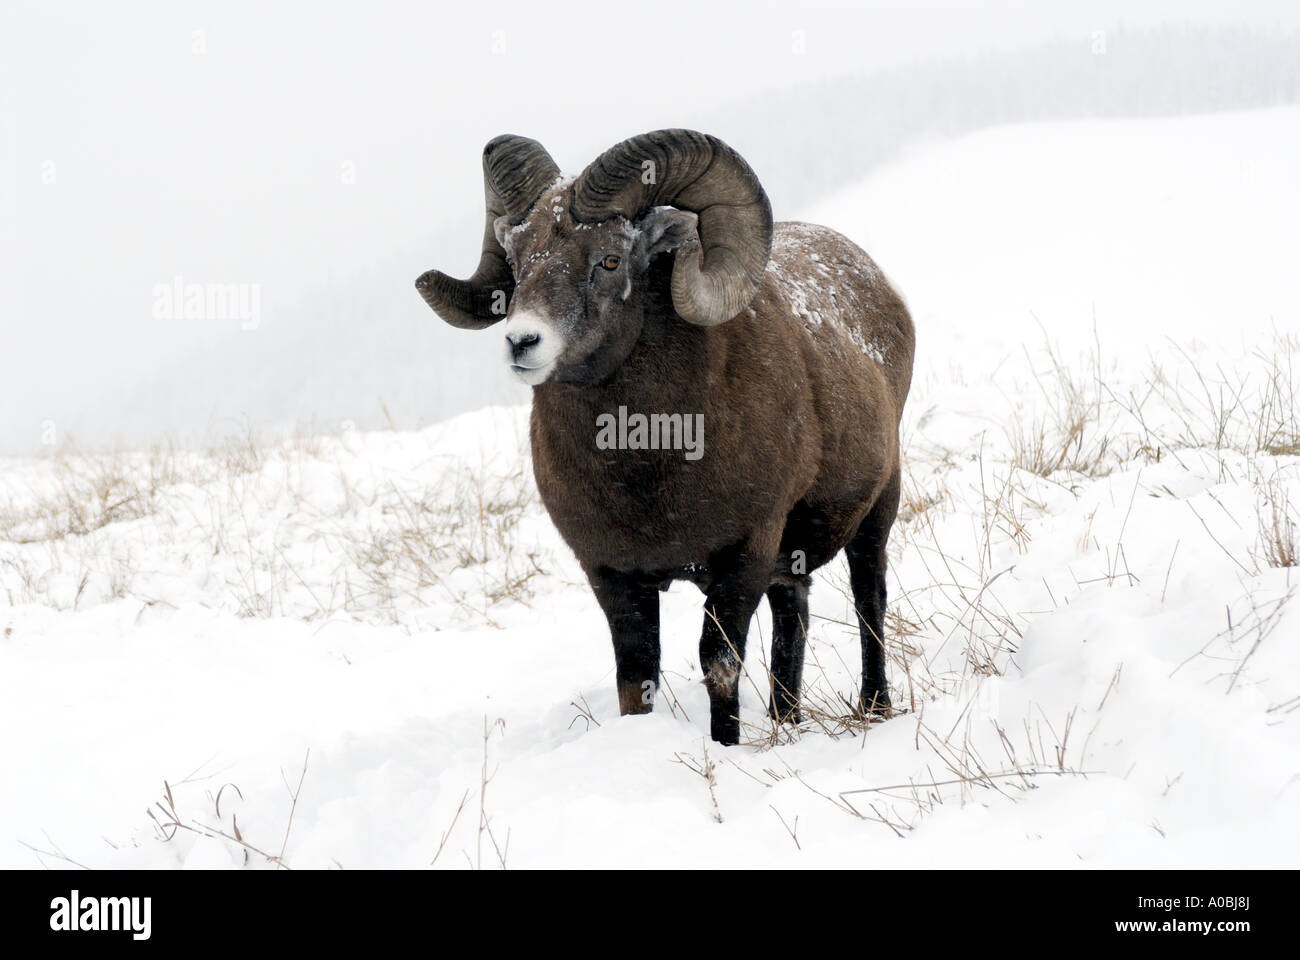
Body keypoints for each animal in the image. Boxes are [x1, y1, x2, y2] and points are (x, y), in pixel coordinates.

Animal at [416, 129, 914, 745]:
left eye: (609, 259)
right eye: (515, 259)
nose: (522, 342)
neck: (648, 462)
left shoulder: (743, 557)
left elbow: (719, 664)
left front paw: (725, 747)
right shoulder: (613, 575)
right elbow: (636, 678)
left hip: (876, 512)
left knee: (870, 601)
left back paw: (874, 708)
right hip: (791, 563)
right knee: (792, 620)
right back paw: (785, 723)